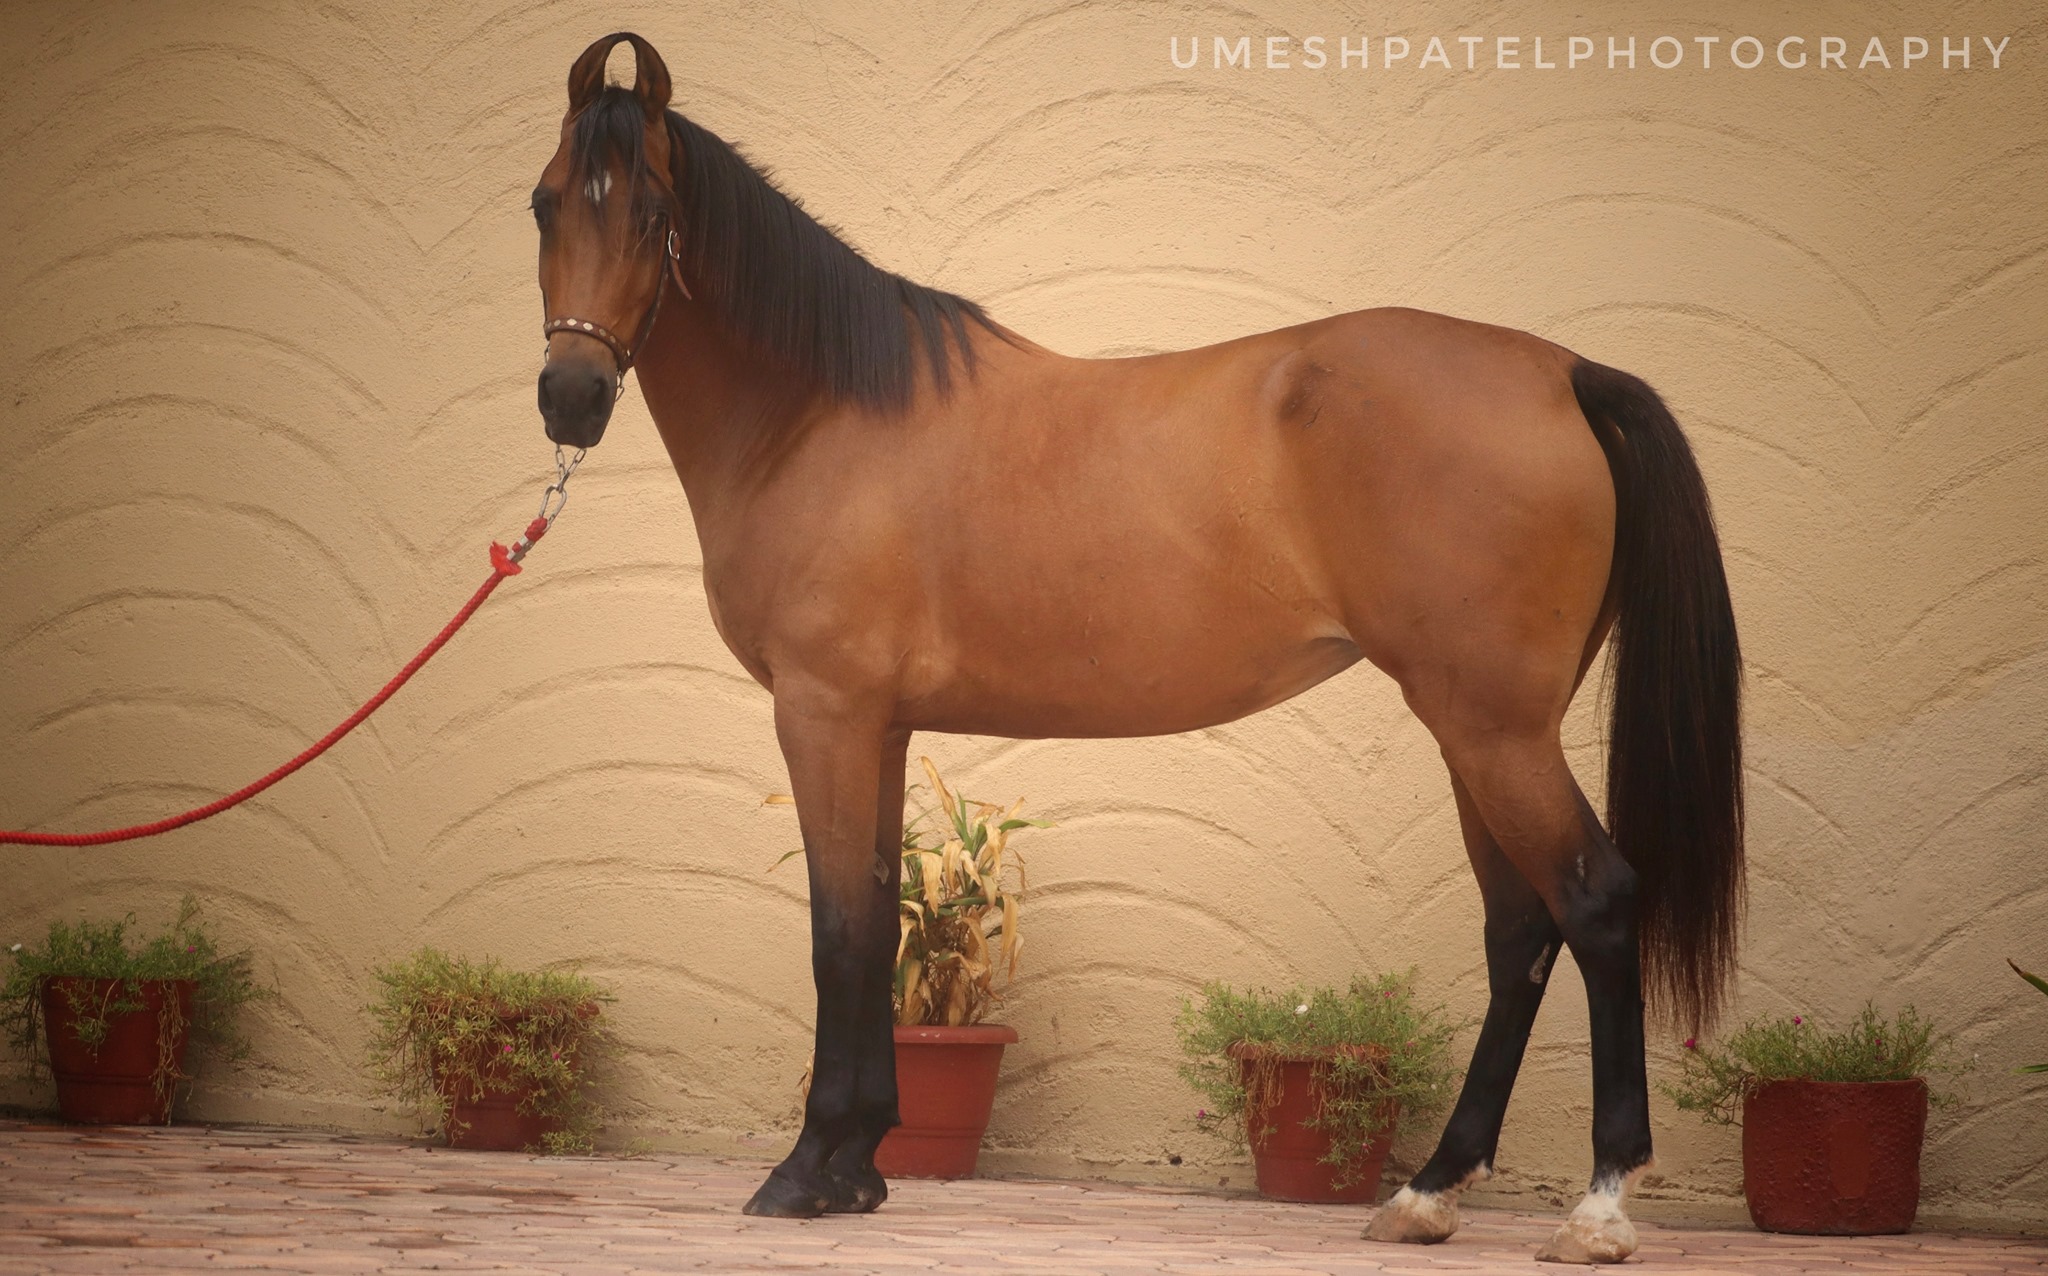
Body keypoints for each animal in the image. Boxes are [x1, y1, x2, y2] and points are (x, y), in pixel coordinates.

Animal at [528, 33, 1743, 1264]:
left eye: (651, 215)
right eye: (545, 204)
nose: (569, 398)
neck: (820, 416)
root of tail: (1562, 372)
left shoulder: (821, 710)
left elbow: (836, 933)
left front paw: (804, 1169)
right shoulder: (879, 724)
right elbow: (870, 920)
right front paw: (857, 1166)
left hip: (1493, 730)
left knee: (1596, 904)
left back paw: (1598, 1206)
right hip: (1476, 731)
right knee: (1518, 930)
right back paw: (1427, 1190)